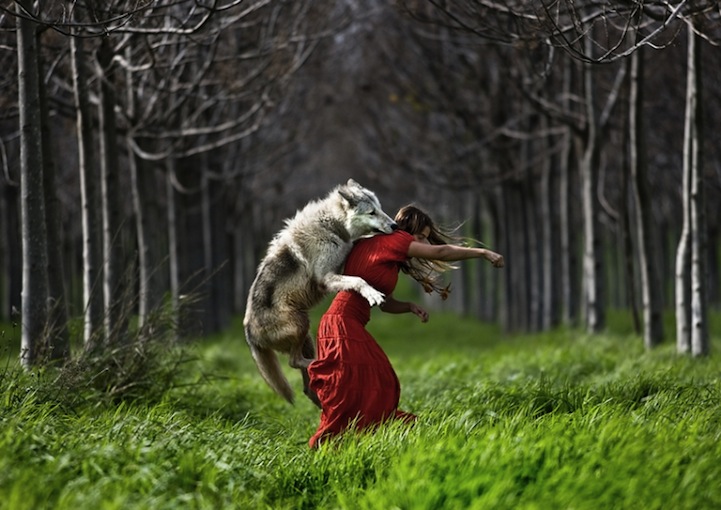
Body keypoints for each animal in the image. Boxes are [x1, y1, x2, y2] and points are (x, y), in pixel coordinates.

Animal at [243, 179, 397, 406]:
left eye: (380, 209)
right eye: (372, 212)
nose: (395, 225)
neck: (331, 225)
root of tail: (249, 333)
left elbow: (356, 251)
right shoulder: (327, 278)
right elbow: (359, 280)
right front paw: (373, 294)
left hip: (305, 335)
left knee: (305, 383)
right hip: (301, 324)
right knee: (294, 362)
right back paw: (322, 363)